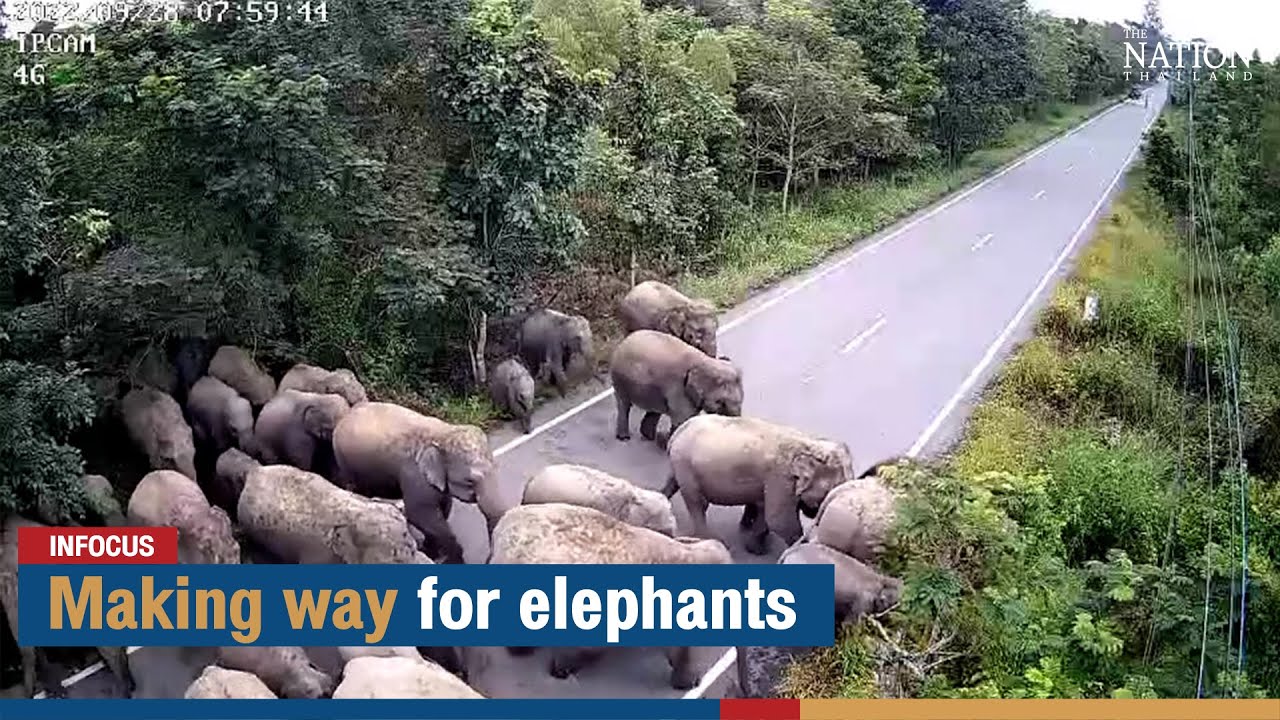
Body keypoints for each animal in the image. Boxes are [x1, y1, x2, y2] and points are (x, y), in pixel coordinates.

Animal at [332, 402, 501, 565]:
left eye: (495, 467)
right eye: (470, 480)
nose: (489, 559)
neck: (443, 432)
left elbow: (444, 506)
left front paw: (432, 551)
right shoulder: (414, 475)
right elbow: (419, 513)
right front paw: (449, 559)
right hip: (344, 461)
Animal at [609, 330, 743, 444]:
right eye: (720, 402)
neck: (703, 361)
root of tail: (625, 340)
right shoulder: (679, 389)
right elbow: (682, 420)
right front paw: (666, 439)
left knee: (654, 409)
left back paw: (650, 437)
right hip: (619, 378)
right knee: (624, 404)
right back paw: (625, 437)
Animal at [663, 414, 853, 555]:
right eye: (829, 491)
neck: (809, 443)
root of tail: (678, 431)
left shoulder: (774, 481)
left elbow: (765, 510)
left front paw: (756, 547)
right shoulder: (780, 477)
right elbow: (779, 519)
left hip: (679, 463)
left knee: (673, 484)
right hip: (685, 465)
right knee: (697, 502)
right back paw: (711, 538)